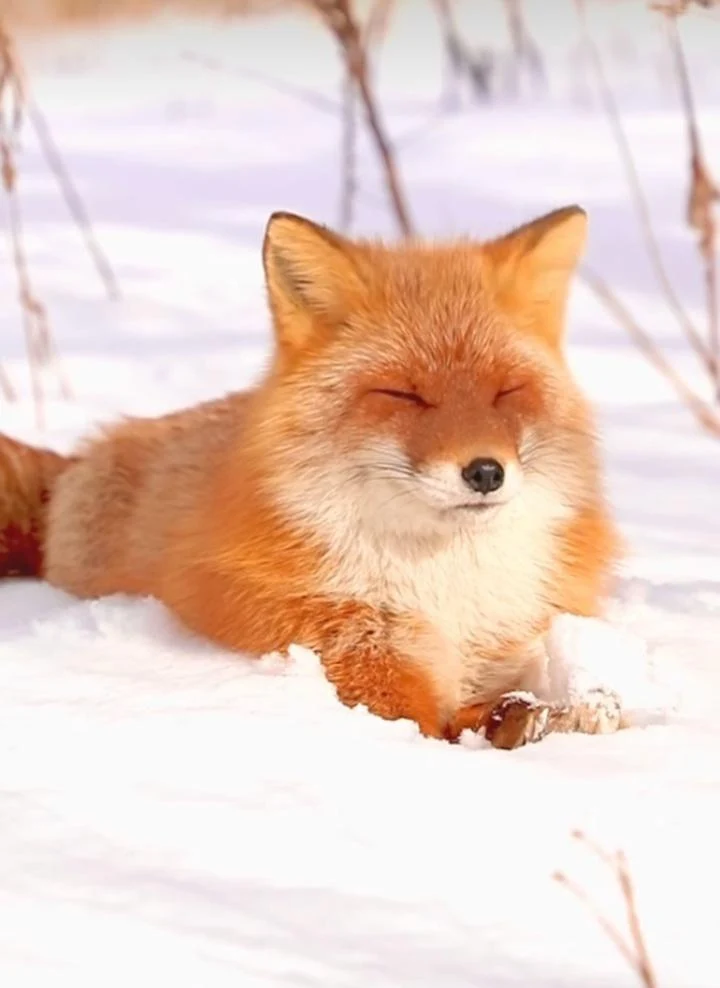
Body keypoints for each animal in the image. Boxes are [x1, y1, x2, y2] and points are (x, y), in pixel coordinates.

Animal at [0, 205, 623, 749]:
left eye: (506, 391)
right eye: (404, 394)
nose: (486, 471)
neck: (444, 593)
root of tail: (76, 468)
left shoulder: (515, 638)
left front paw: (558, 715)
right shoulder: (347, 651)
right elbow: (429, 724)